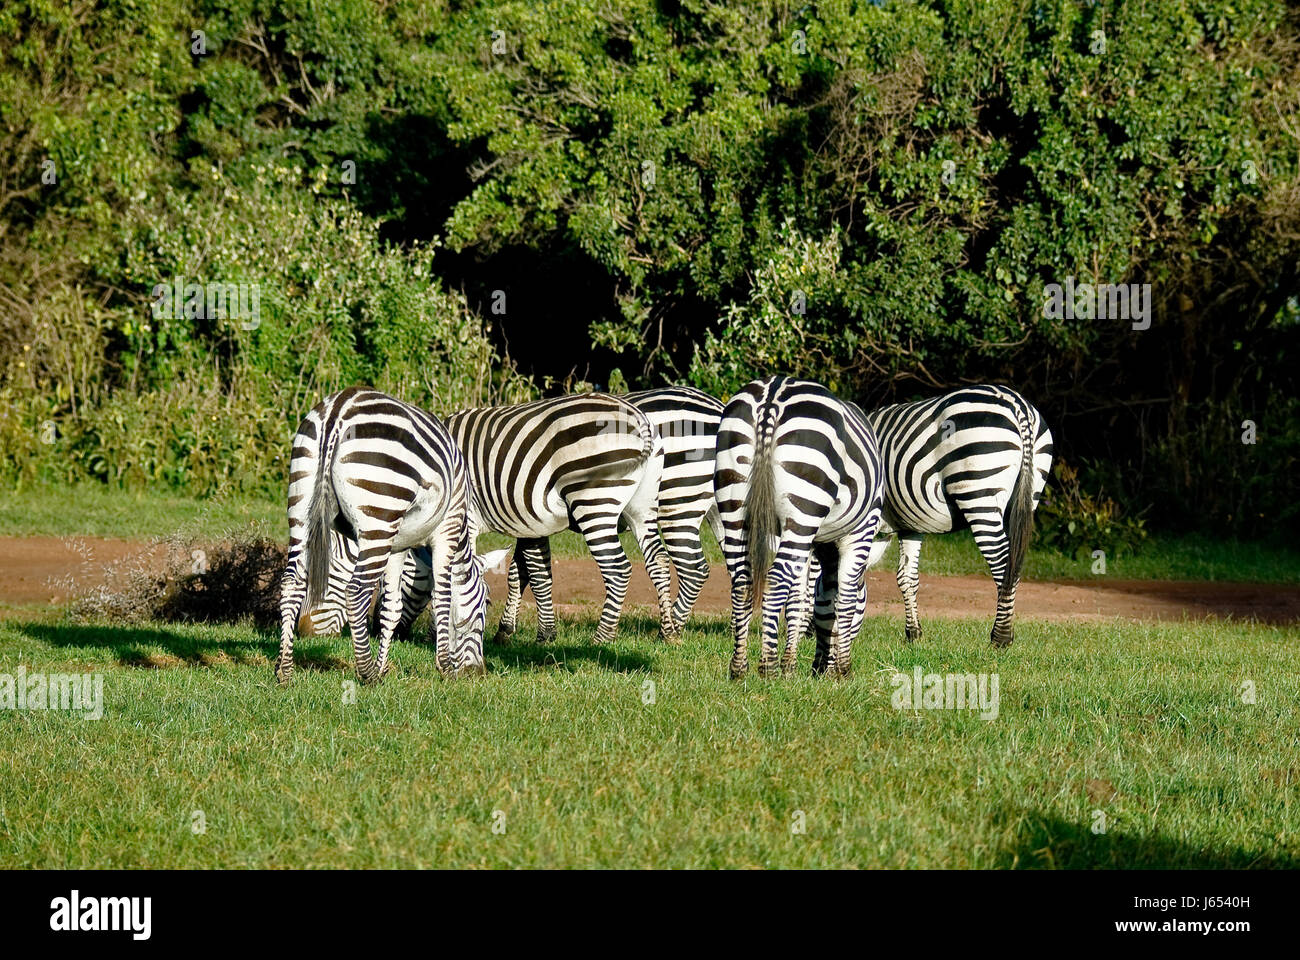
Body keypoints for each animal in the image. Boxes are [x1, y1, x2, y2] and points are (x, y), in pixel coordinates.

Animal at [275, 387, 489, 684]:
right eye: (483, 610)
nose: (478, 672)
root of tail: (339, 409)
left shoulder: (398, 546)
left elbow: (392, 608)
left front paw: (383, 666)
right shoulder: (447, 530)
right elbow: (444, 598)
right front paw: (444, 666)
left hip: (301, 508)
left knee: (291, 582)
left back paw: (285, 669)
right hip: (379, 514)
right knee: (356, 592)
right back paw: (365, 672)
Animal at [444, 393, 661, 645]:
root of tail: (638, 419)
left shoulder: (466, 519)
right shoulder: (528, 524)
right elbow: (527, 573)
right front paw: (516, 630)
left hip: (594, 502)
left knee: (618, 569)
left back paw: (601, 639)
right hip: (643, 508)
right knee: (658, 559)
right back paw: (668, 632)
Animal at [714, 376, 885, 679]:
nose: (823, 668)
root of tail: (772, 395)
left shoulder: (812, 542)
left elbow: (805, 599)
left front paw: (795, 665)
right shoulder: (861, 531)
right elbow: (845, 596)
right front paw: (841, 670)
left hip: (735, 503)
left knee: (742, 580)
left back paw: (739, 666)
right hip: (805, 503)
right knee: (775, 581)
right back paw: (768, 667)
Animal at [857, 384, 1054, 647]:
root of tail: (1015, 402)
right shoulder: (911, 524)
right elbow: (906, 576)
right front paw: (914, 634)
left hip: (978, 492)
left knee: (1002, 563)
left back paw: (1000, 638)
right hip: (1031, 491)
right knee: (1015, 561)